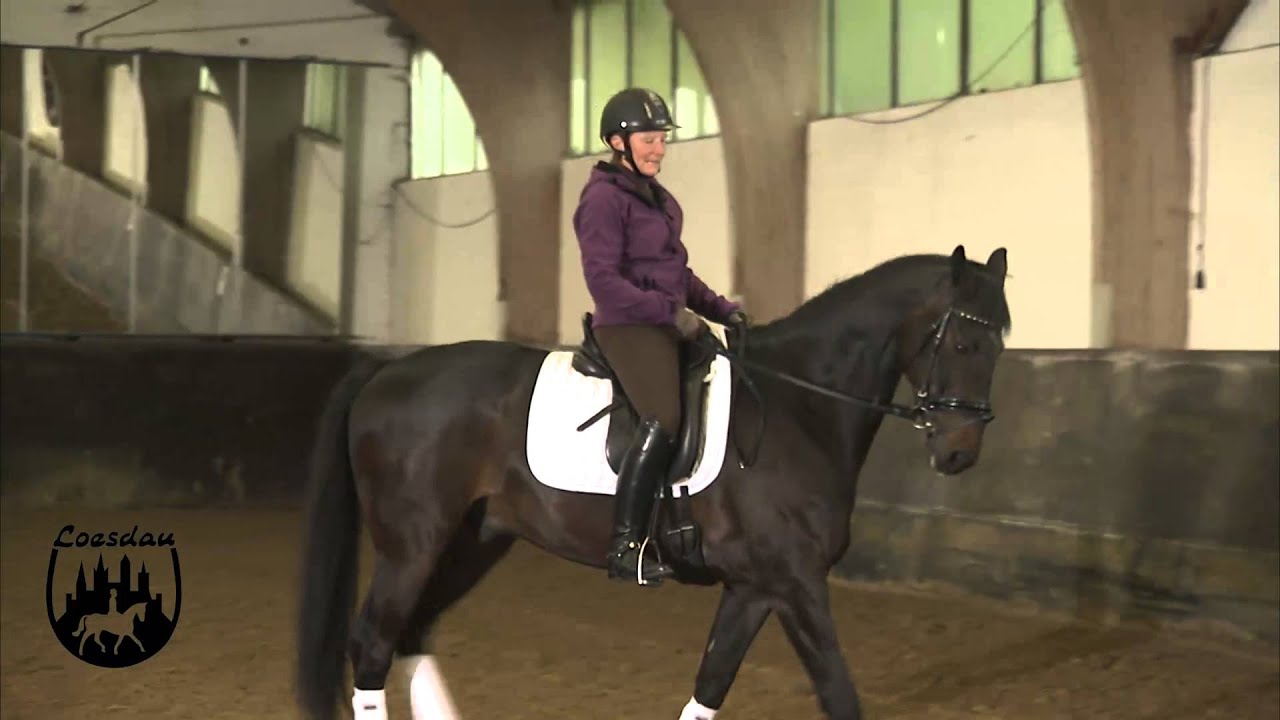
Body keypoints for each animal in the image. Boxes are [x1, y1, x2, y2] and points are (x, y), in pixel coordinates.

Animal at [295, 244, 1012, 720]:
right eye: (963, 345)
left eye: (1001, 344)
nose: (959, 453)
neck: (796, 408)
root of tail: (387, 370)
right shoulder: (796, 584)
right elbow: (839, 695)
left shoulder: (756, 587)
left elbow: (710, 685)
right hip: (412, 544)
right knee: (374, 644)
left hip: (475, 539)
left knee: (411, 636)